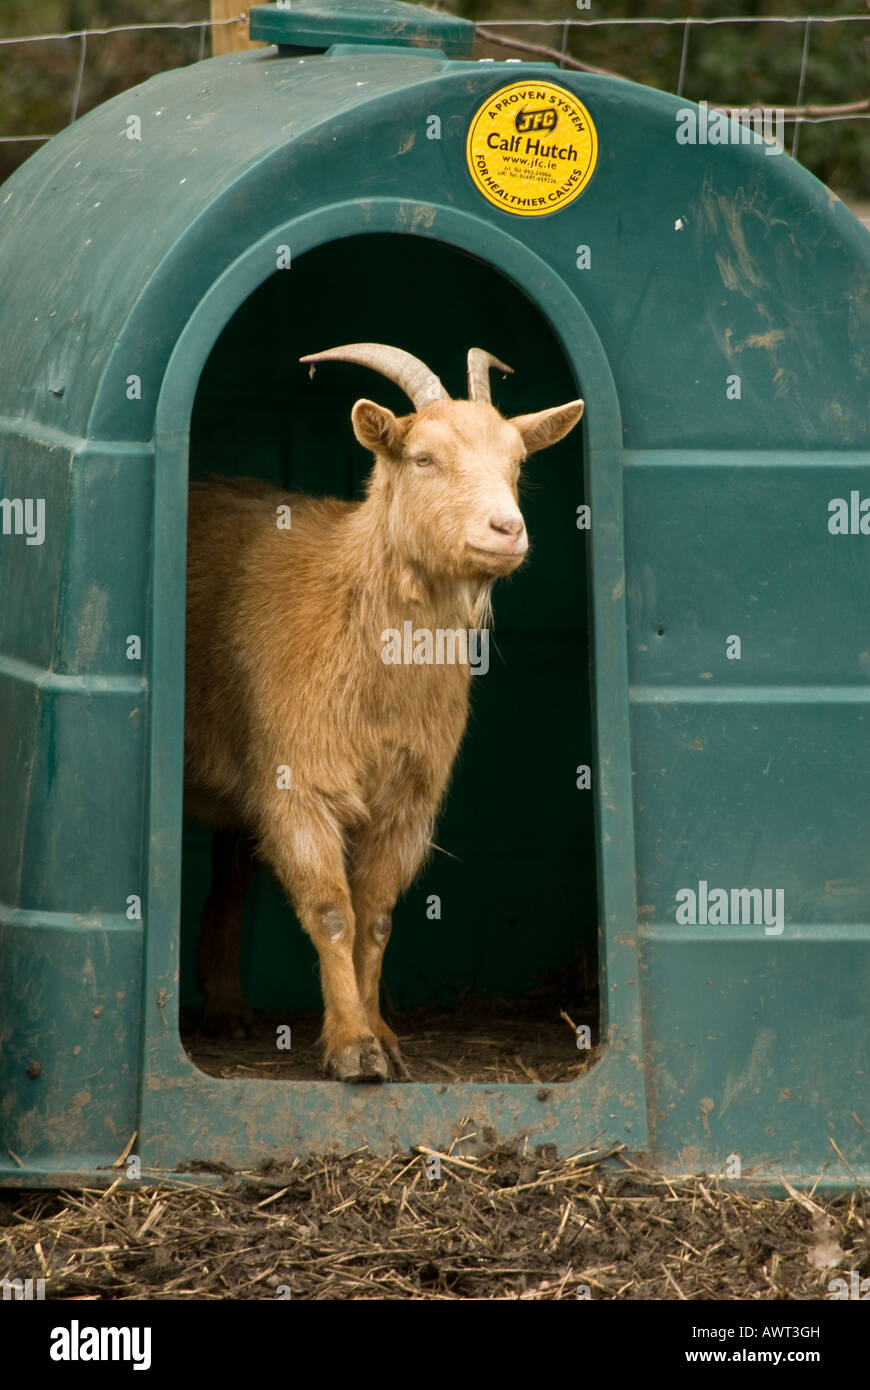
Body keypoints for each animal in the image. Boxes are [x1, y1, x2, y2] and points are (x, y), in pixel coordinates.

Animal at [184, 344, 584, 1081]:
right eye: (422, 458)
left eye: (517, 461)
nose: (507, 530)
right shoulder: (299, 785)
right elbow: (332, 912)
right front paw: (352, 1048)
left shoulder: (407, 804)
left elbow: (375, 917)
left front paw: (383, 1036)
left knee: (230, 871)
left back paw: (227, 1012)